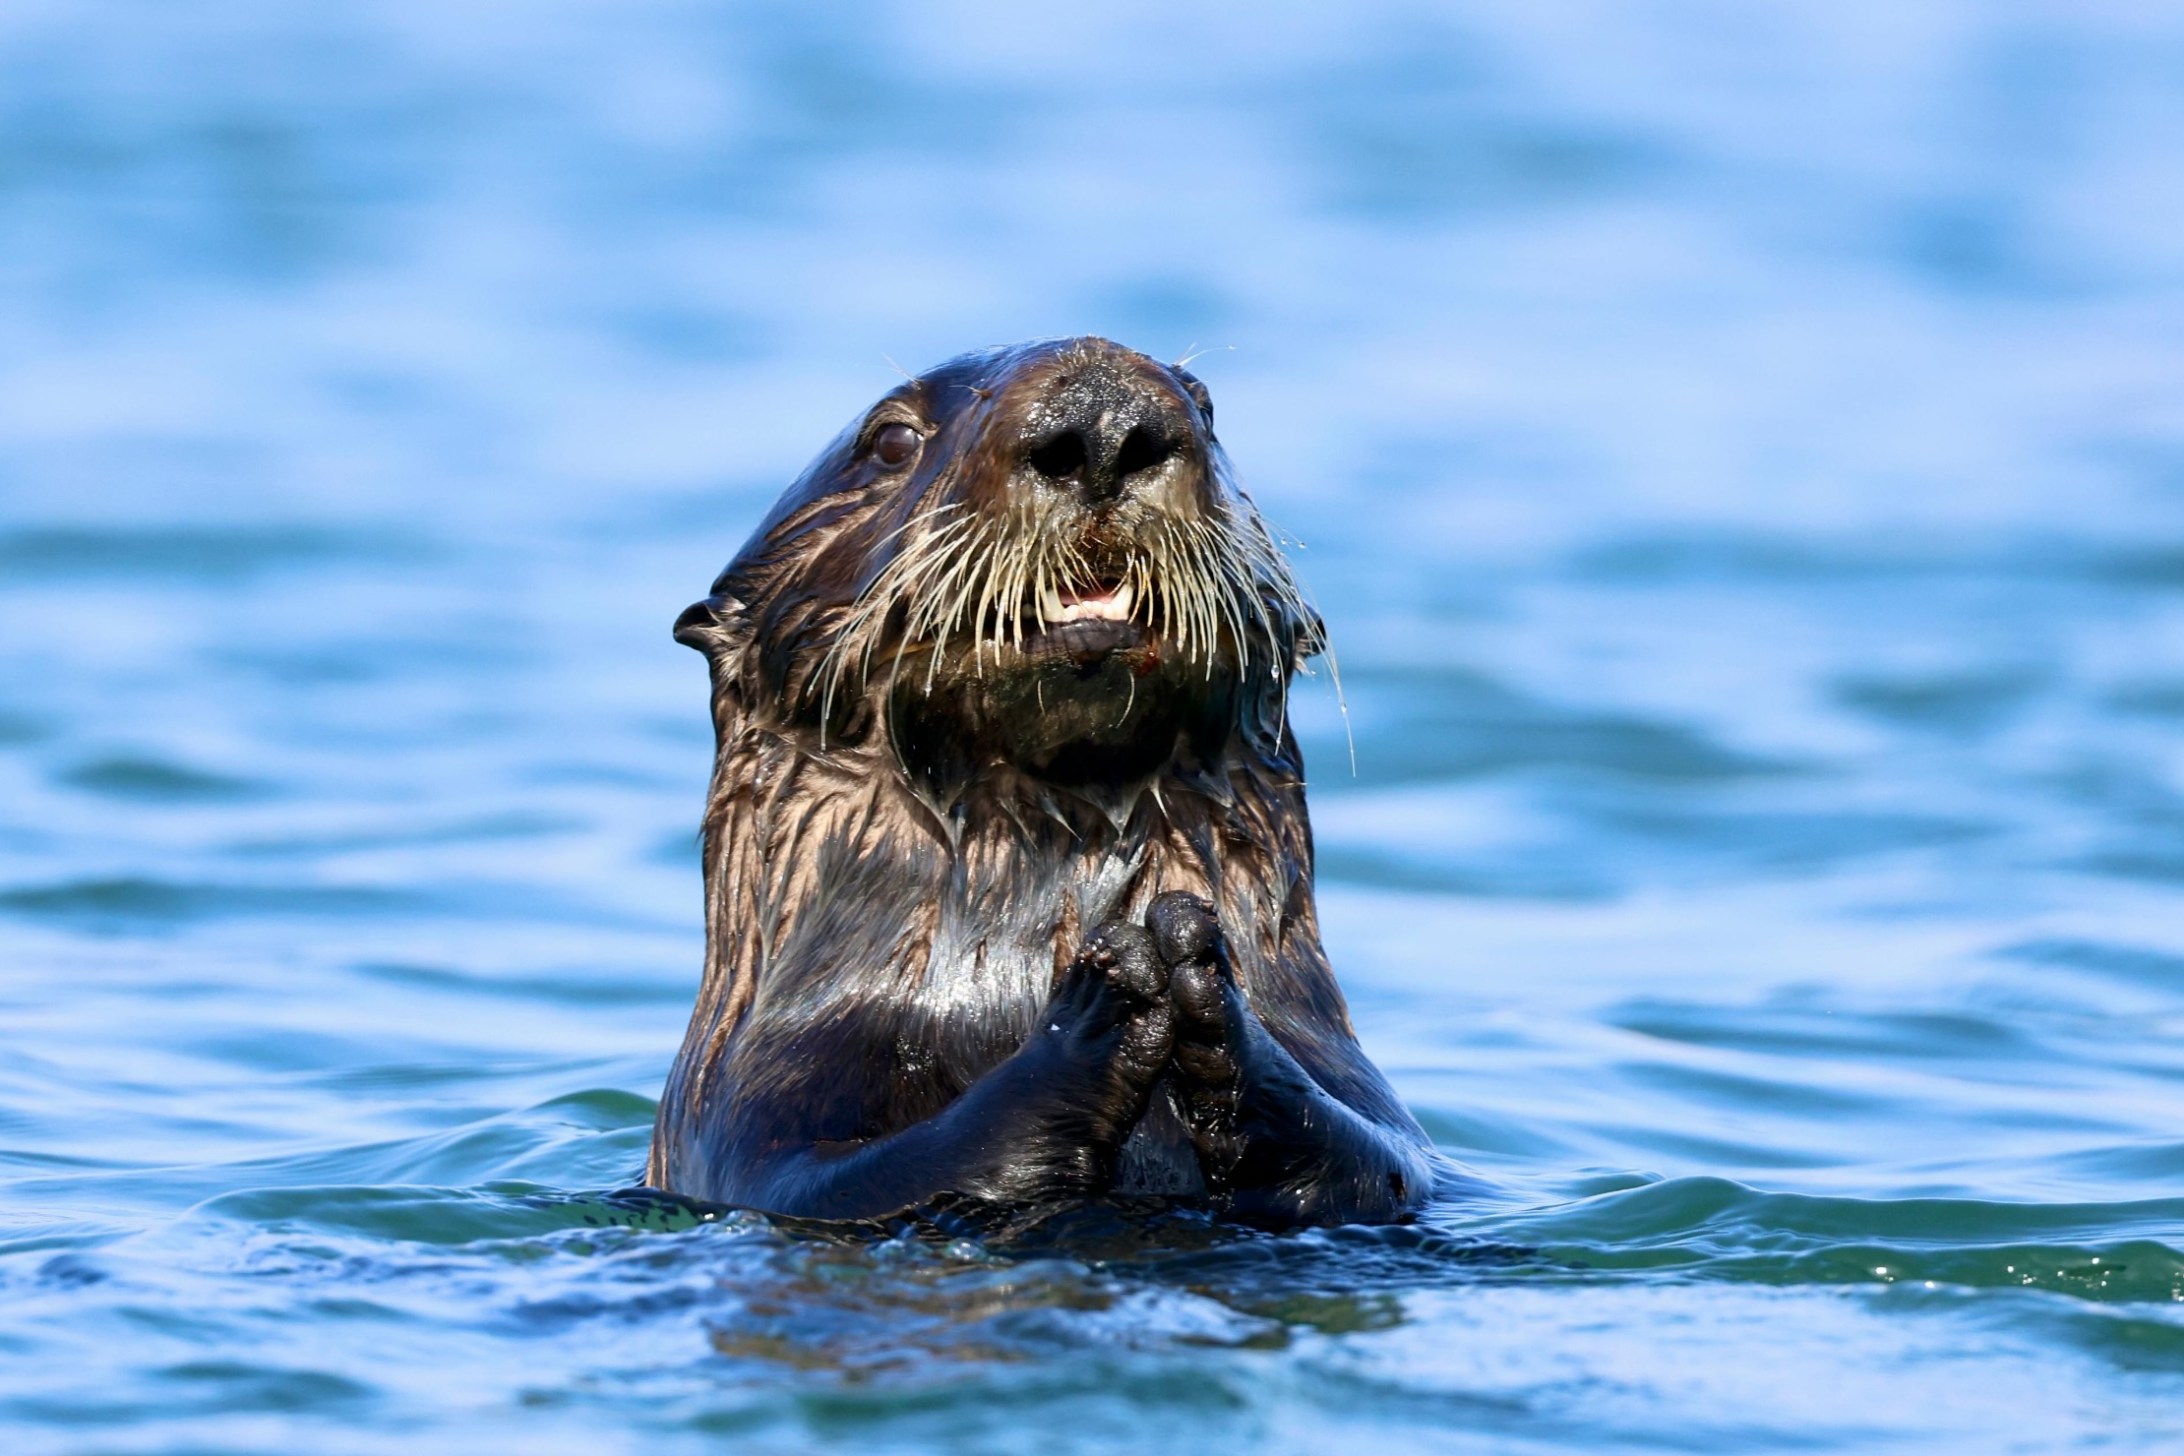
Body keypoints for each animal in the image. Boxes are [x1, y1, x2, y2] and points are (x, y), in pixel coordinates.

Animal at [648, 337, 1436, 1228]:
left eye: (1205, 405)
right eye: (891, 441)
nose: (1102, 419)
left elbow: (1382, 1165)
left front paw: (1205, 976)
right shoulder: (744, 1120)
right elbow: (873, 1180)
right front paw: (1108, 993)